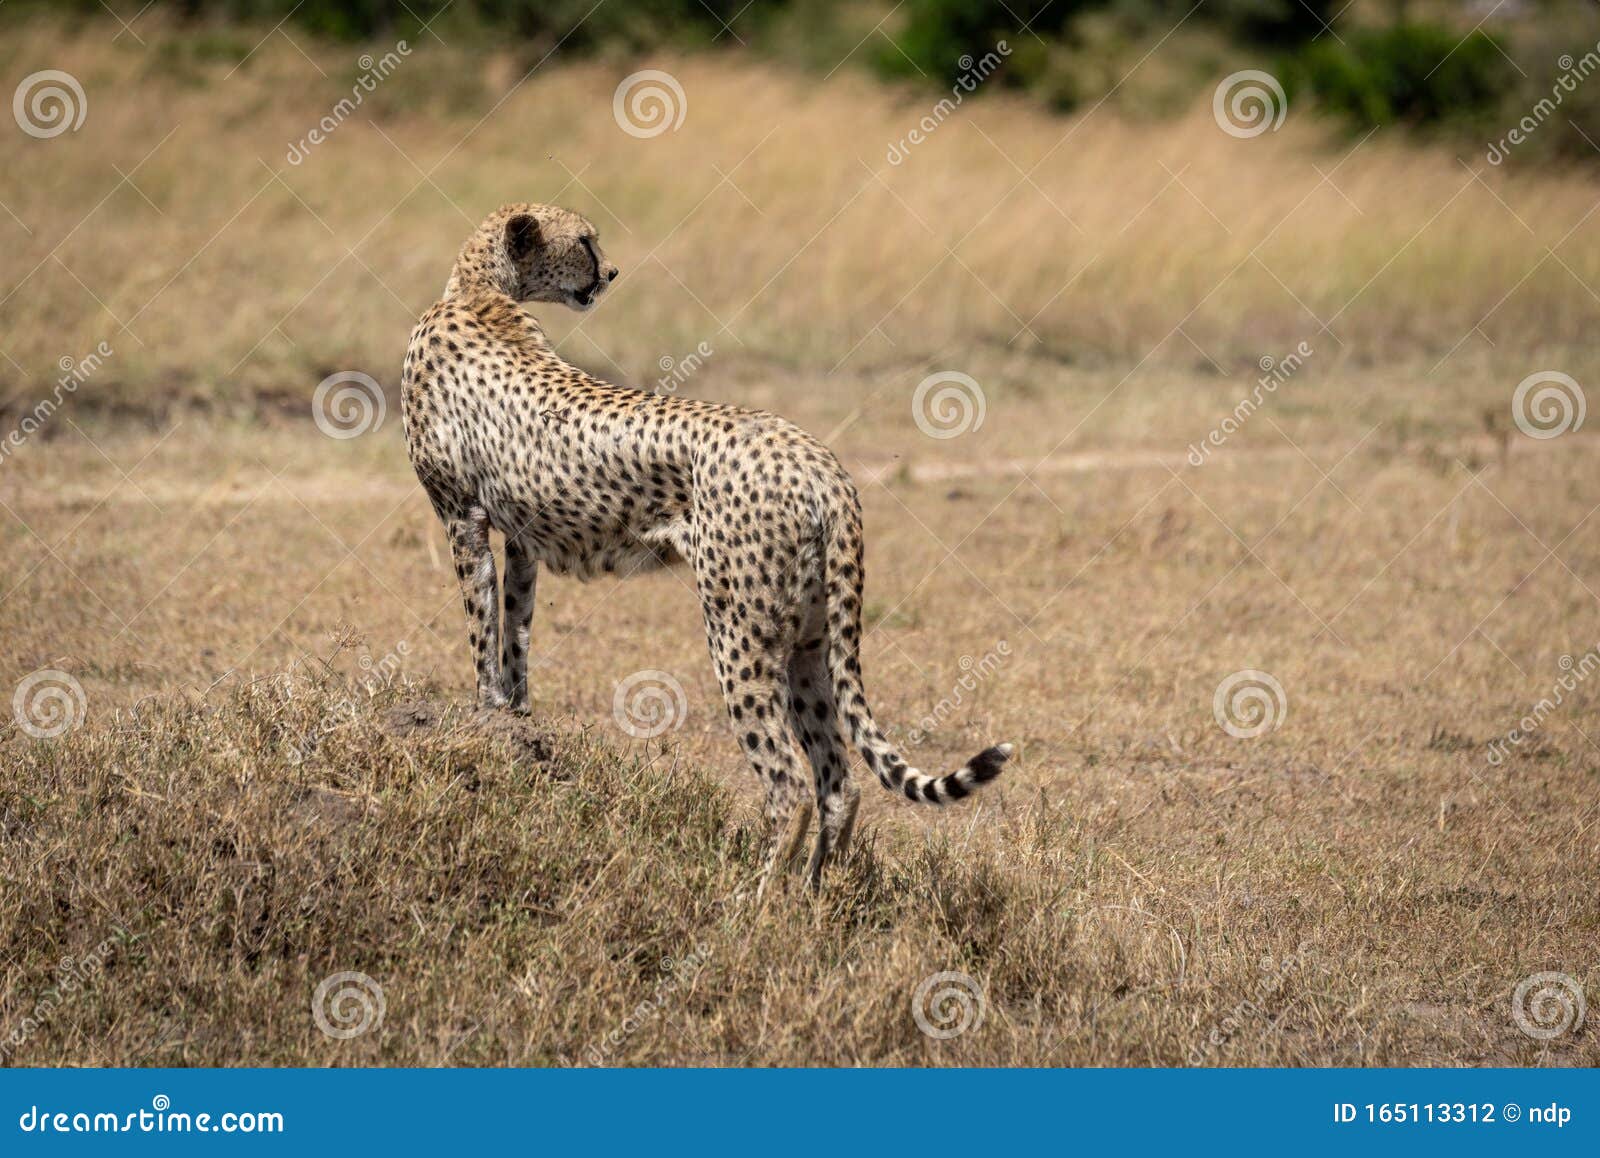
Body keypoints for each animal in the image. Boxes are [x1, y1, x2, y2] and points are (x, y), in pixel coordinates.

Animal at [400, 202, 1013, 891]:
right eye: (585, 241)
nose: (611, 272)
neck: (478, 290)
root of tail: (818, 460)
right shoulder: (522, 539)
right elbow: (515, 629)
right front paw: (515, 722)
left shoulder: (461, 516)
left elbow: (480, 625)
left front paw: (484, 717)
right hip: (809, 641)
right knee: (838, 779)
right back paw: (811, 897)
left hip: (737, 630)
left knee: (788, 781)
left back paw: (753, 898)